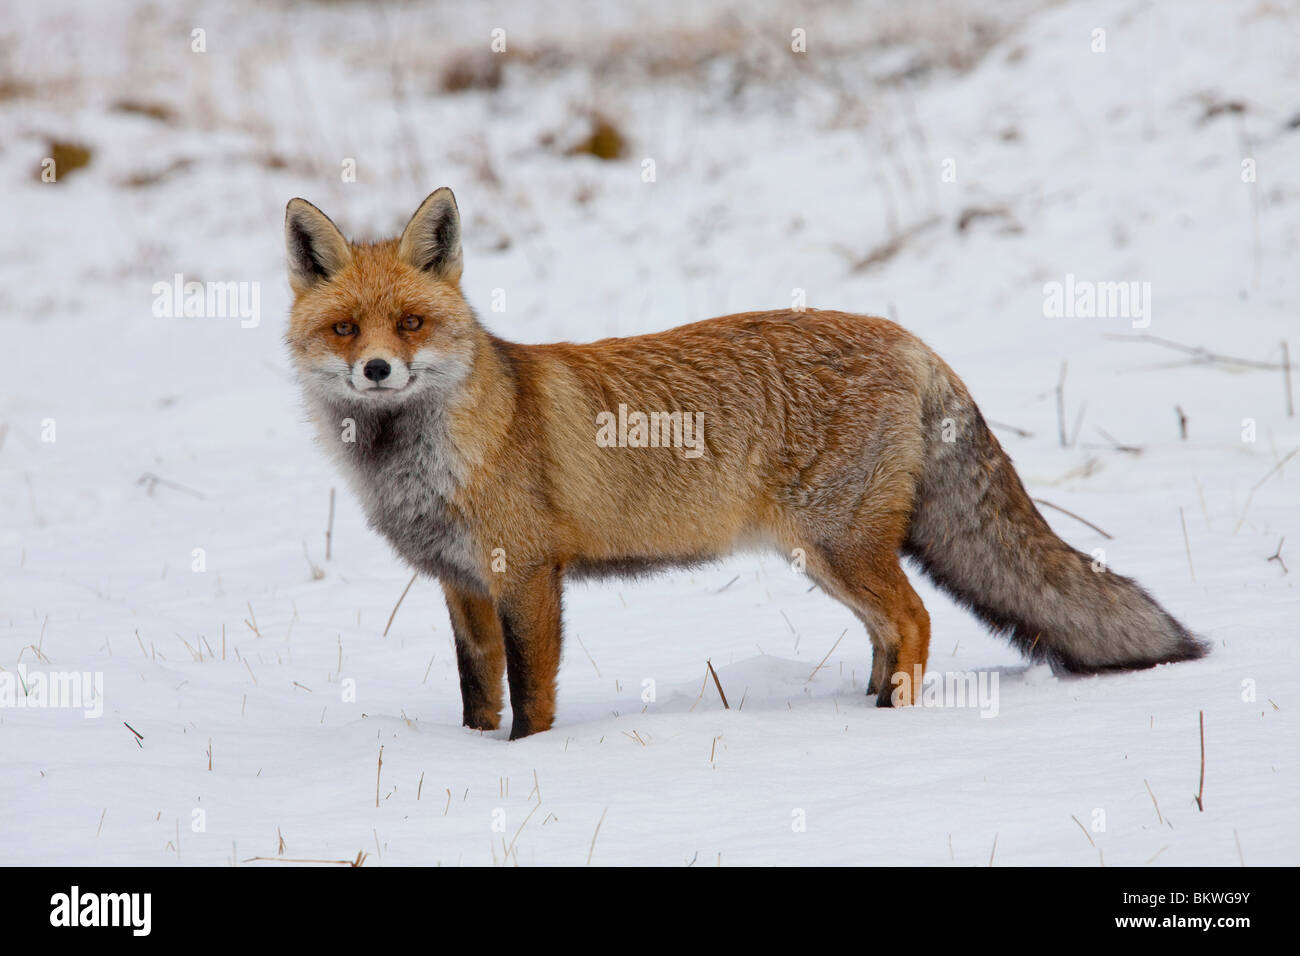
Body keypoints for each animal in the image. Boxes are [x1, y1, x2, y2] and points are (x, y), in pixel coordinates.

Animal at [284, 188, 1206, 739]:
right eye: (345, 329)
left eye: (410, 324)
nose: (377, 371)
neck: (421, 462)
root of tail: (909, 337)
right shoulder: (462, 585)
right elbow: (480, 693)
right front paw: (475, 759)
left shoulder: (528, 574)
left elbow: (532, 696)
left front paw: (529, 762)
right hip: (823, 556)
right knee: (887, 630)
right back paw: (870, 704)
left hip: (838, 545)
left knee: (913, 620)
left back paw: (894, 726)